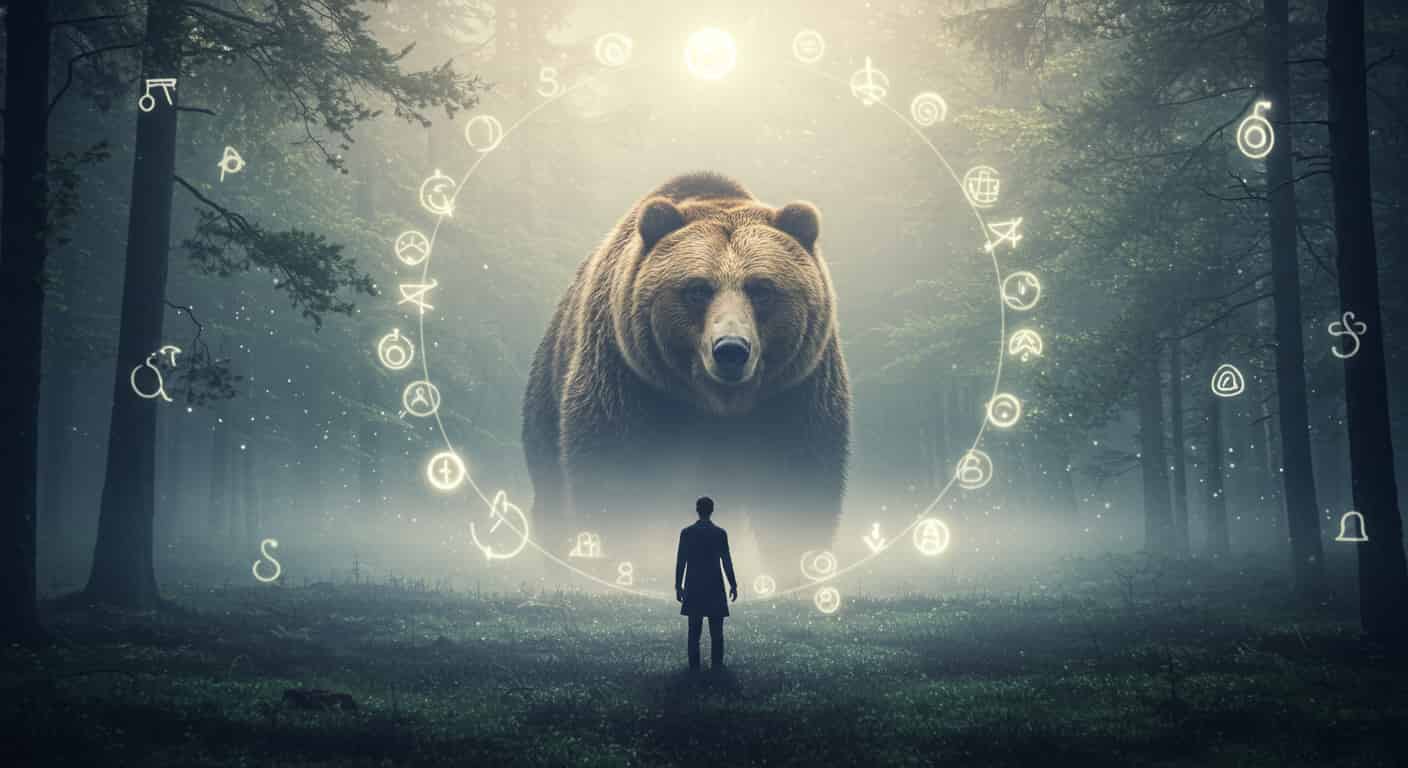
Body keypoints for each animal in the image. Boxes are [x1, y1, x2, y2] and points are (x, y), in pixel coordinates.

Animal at [522, 171, 851, 583]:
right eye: (698, 289)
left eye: (761, 289)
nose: (731, 349)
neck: (716, 404)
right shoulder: (628, 380)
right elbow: (611, 470)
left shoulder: (795, 391)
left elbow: (802, 479)